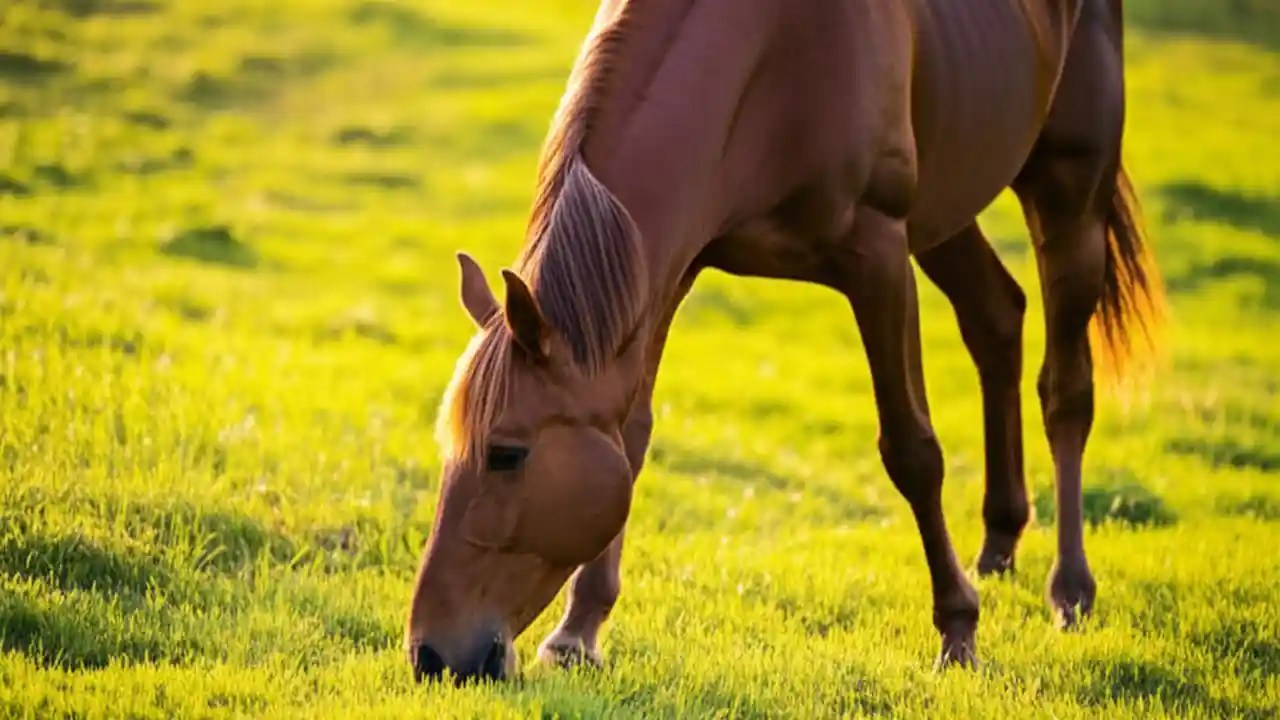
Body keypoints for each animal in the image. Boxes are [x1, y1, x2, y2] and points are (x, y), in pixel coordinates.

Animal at [406, 0, 1162, 682]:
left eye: (506, 454)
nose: (431, 655)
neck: (770, 57)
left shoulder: (878, 255)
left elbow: (912, 451)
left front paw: (958, 633)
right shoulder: (670, 266)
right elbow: (631, 437)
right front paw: (578, 632)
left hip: (1070, 190)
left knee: (1066, 389)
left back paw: (1070, 591)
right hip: (947, 209)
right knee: (997, 317)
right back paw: (999, 545)